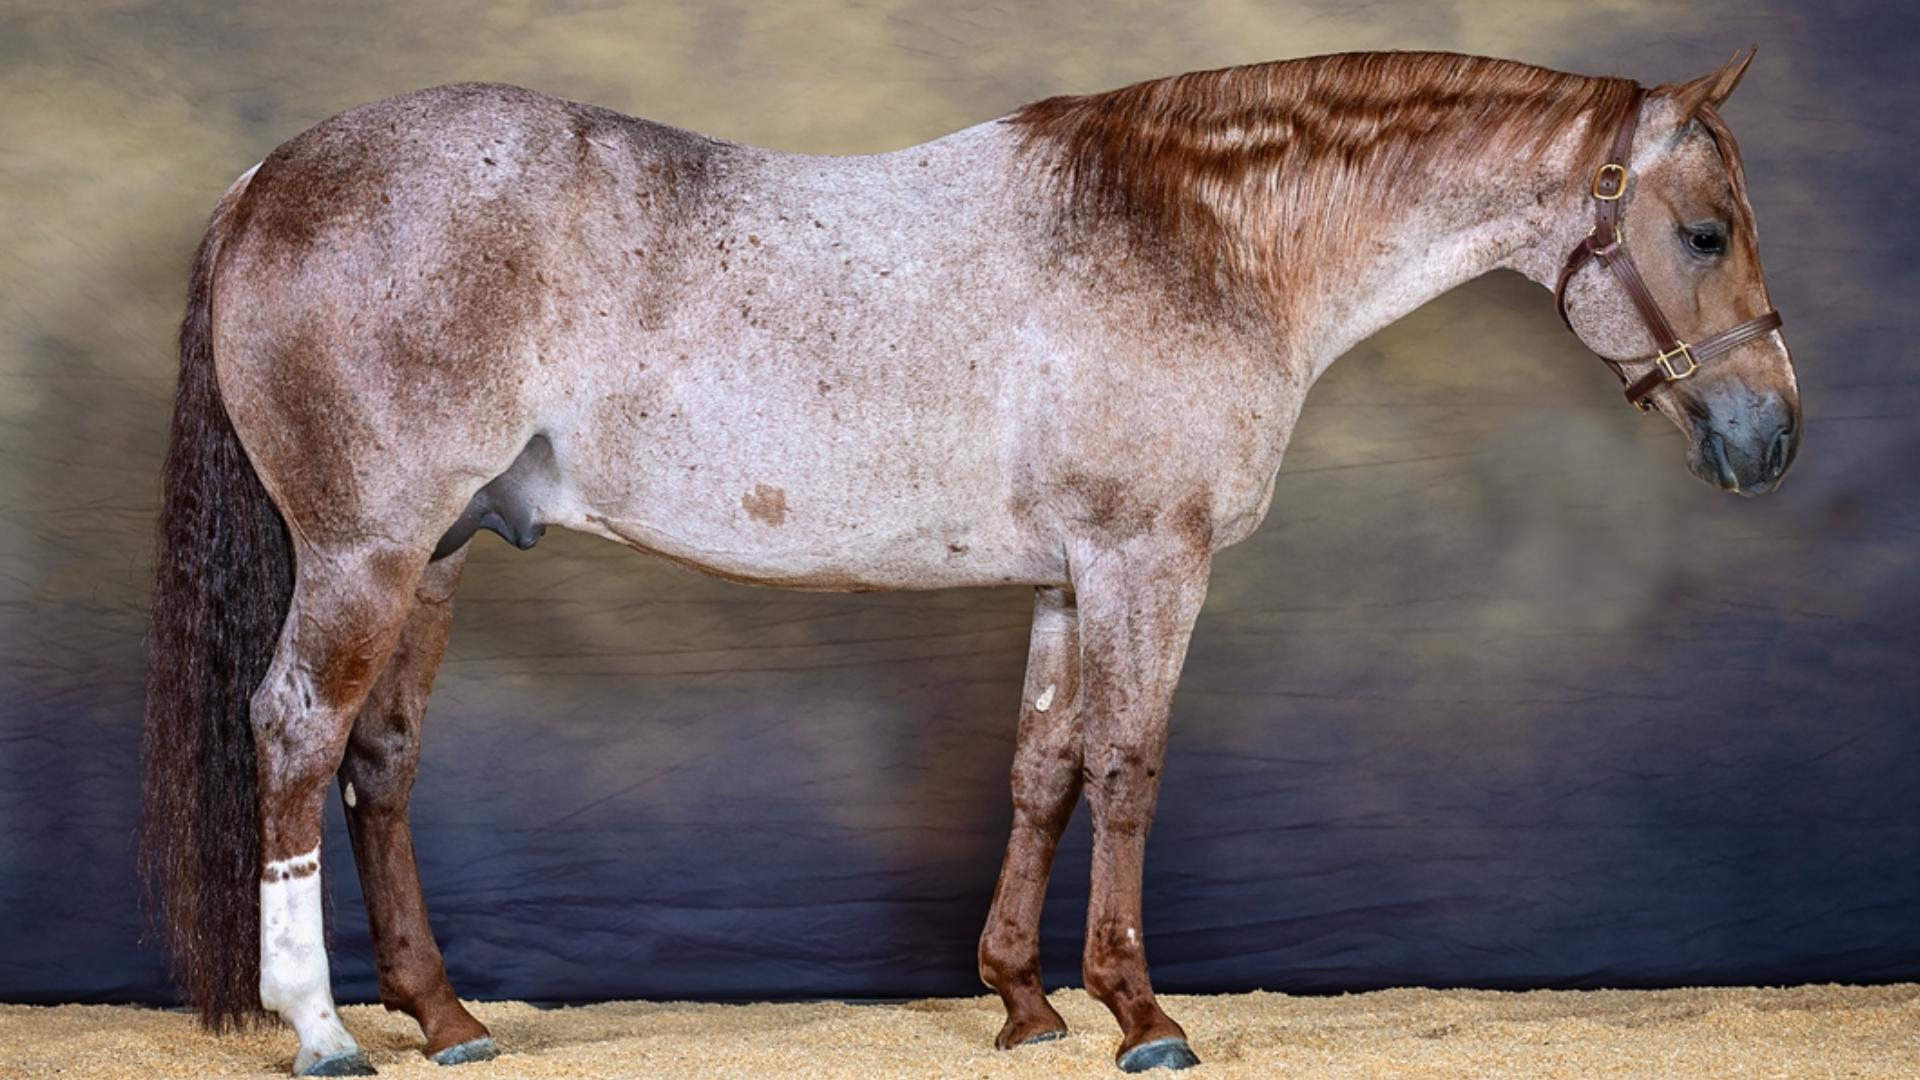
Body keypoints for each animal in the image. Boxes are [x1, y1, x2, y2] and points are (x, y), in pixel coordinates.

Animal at [141, 47, 1799, 1075]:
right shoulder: (1146, 563)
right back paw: (323, 1032)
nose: (1770, 436)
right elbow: (1128, 767)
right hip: (363, 550)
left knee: (381, 758)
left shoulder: (1070, 578)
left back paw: (447, 1018)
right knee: (298, 732)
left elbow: (1042, 769)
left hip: (436, 555)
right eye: (1707, 232)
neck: (1198, 238)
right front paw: (1140, 1013)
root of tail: (264, 178)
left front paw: (1019, 1003)